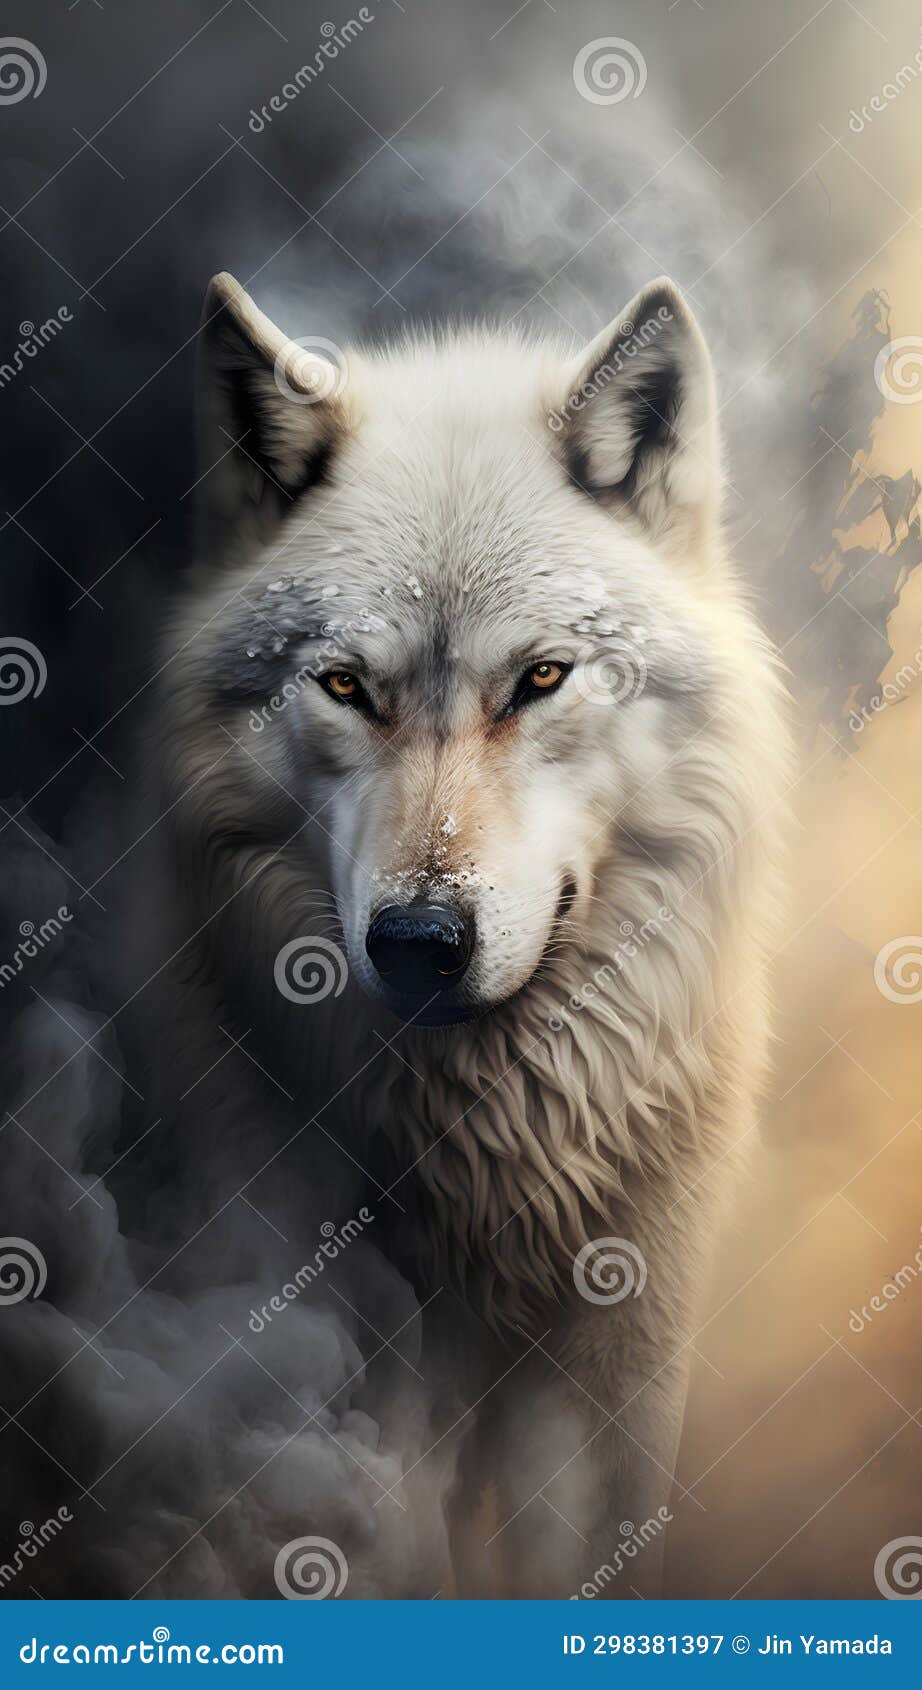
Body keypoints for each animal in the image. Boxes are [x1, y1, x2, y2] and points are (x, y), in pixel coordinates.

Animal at [124, 270, 789, 1598]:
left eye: (539, 678)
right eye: (345, 686)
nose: (419, 940)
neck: (488, 1165)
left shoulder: (607, 1369)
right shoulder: (350, 1356)